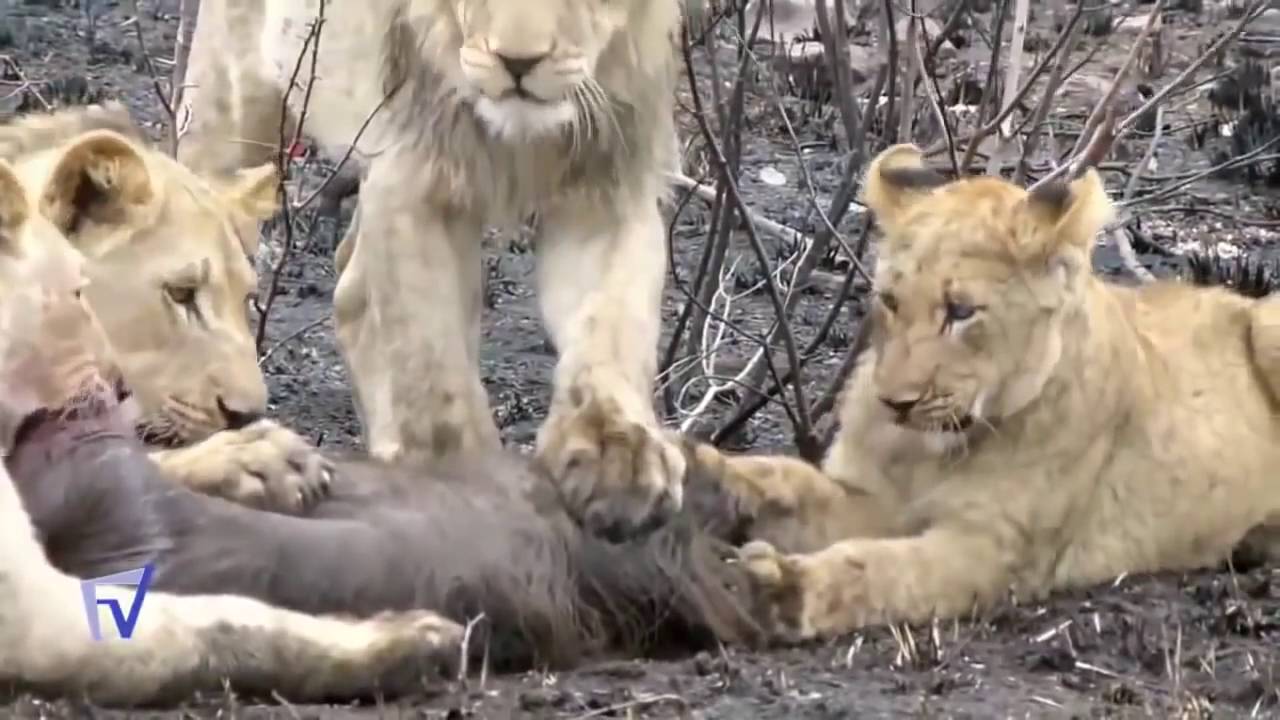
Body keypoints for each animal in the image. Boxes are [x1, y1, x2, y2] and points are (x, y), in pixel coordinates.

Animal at [0, 145, 463, 706]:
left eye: (245, 298)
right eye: (181, 294)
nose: (248, 413)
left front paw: (261, 458)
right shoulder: (31, 612)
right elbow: (227, 624)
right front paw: (401, 639)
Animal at [174, 0, 688, 539]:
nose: (518, 64)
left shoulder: (606, 190)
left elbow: (611, 329)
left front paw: (620, 456)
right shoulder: (413, 181)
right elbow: (435, 374)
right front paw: (464, 488)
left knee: (352, 287)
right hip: (227, 131)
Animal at [673, 143, 1280, 642]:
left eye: (961, 311)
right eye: (891, 301)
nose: (896, 403)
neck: (929, 452)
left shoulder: (992, 551)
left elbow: (882, 571)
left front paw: (778, 589)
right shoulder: (874, 499)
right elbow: (791, 481)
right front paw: (708, 477)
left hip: (1269, 324)